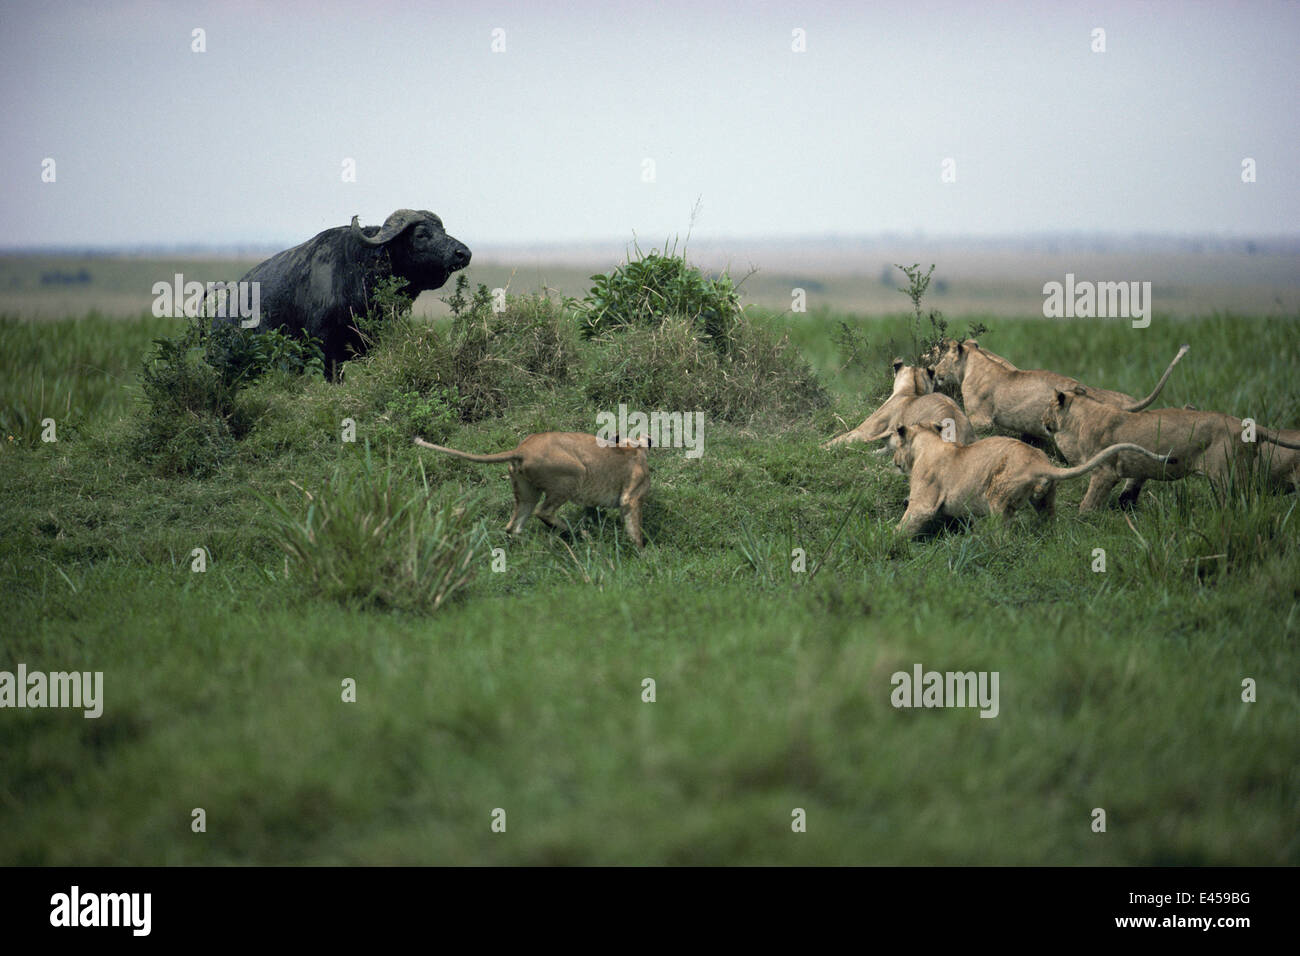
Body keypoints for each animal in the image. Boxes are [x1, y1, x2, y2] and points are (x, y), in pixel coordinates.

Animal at [414, 432, 650, 547]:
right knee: (543, 512)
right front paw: (642, 552)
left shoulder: (593, 503)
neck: (631, 447)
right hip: (573, 475)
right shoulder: (631, 497)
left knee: (513, 526)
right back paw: (576, 533)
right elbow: (635, 529)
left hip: (526, 493)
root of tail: (522, 449)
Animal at [887, 421, 1170, 537]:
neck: (929, 442)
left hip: (997, 499)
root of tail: (1040, 463)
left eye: (896, 444)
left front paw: (887, 538)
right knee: (1049, 523)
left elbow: (906, 523)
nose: (895, 461)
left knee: (1003, 533)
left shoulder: (924, 503)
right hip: (1045, 500)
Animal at [1042, 388, 1300, 510]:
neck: (1080, 418)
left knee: (1244, 502)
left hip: (1229, 475)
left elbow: (1089, 503)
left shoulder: (1105, 471)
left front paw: (1083, 519)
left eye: (1048, 406)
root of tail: (1246, 425)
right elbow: (1128, 494)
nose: (1042, 420)